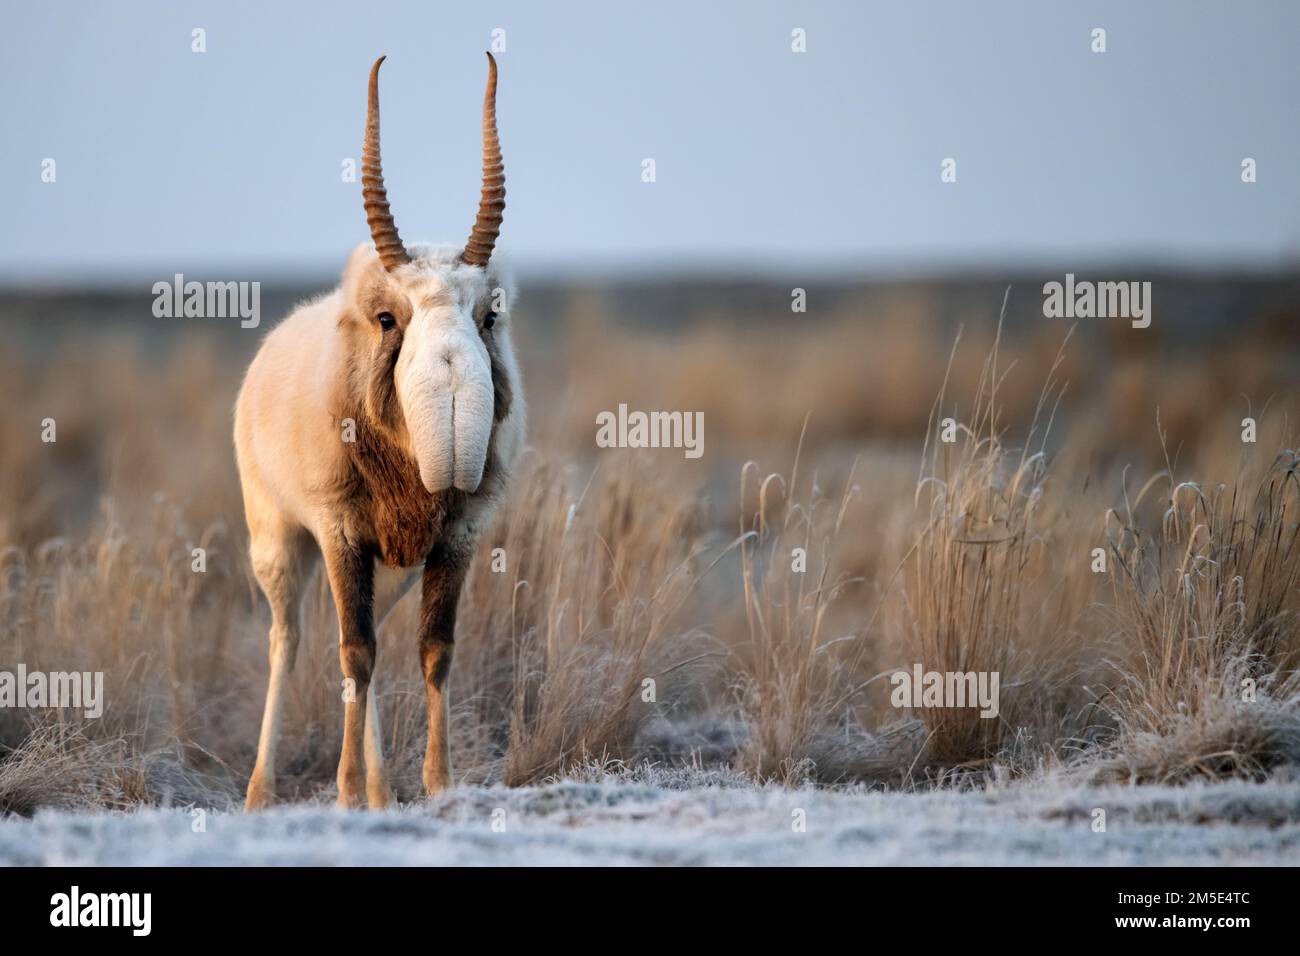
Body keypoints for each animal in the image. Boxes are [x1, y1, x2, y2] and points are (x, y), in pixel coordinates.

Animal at [235, 53, 524, 810]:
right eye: (389, 317)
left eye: (488, 314)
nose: (452, 399)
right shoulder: (339, 533)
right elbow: (354, 653)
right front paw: (341, 794)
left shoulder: (456, 536)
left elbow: (433, 650)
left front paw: (436, 784)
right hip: (279, 540)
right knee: (288, 638)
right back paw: (261, 791)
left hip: (391, 565)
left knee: (378, 634)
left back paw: (381, 791)